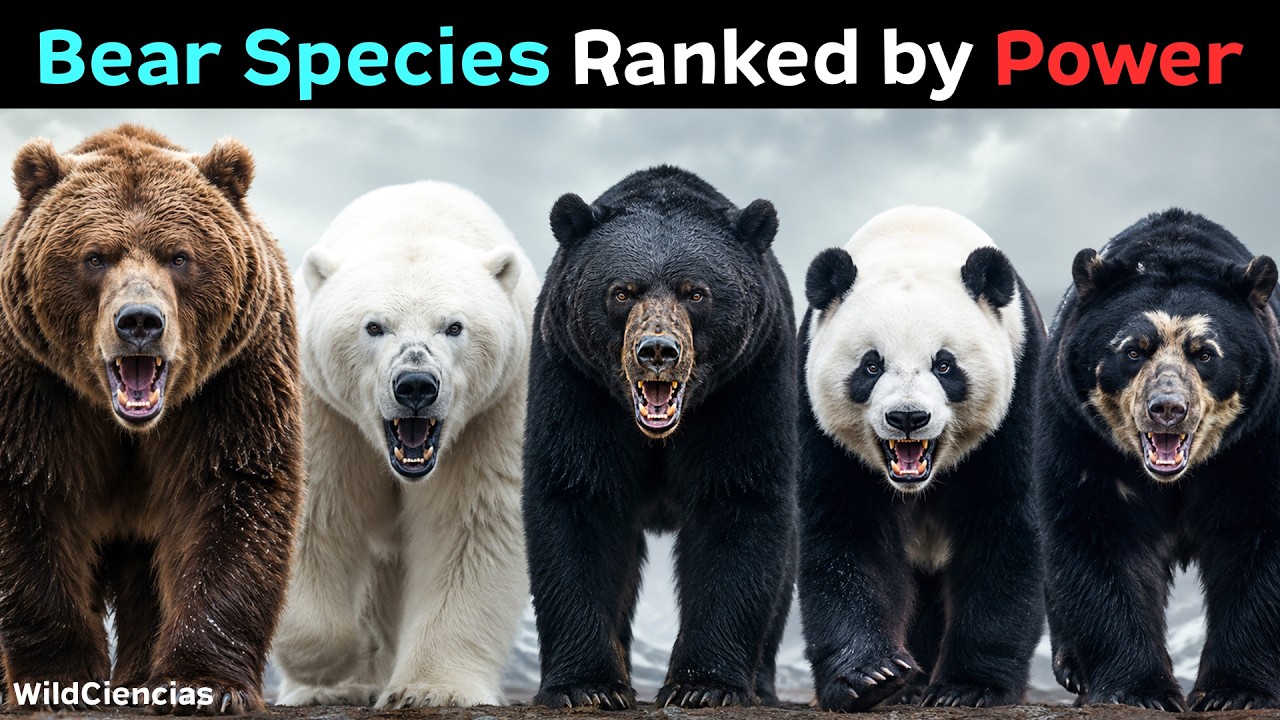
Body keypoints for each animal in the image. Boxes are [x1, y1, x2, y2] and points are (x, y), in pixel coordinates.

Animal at [0, 124, 302, 714]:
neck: (125, 423)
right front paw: (56, 684)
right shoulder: (32, 382)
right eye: (95, 256)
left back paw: (139, 679)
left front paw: (204, 685)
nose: (140, 321)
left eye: (179, 256)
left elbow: (232, 496)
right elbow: (29, 496)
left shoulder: (232, 381)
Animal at [272, 181, 535, 709]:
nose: (416, 384)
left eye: (453, 325)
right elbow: (315, 512)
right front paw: (334, 665)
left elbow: (471, 525)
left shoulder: (495, 411)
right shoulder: (325, 411)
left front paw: (433, 689)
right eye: (374, 325)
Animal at [522, 165, 798, 711]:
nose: (656, 351)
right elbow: (578, 497)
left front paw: (704, 685)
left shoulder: (746, 383)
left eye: (696, 292)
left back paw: (764, 684)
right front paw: (588, 686)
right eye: (622, 291)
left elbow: (736, 499)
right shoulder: (576, 381)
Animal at [796, 206, 1046, 711]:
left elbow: (1004, 524)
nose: (908, 417)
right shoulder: (821, 428)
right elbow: (846, 533)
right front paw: (871, 676)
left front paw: (967, 687)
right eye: (871, 365)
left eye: (944, 365)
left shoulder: (1020, 391)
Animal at [1038, 208, 1280, 712]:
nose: (1168, 408)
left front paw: (1233, 691)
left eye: (1205, 353)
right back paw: (1071, 667)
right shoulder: (1082, 436)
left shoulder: (1257, 439)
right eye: (1133, 350)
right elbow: (1102, 534)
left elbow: (1257, 533)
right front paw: (1142, 690)